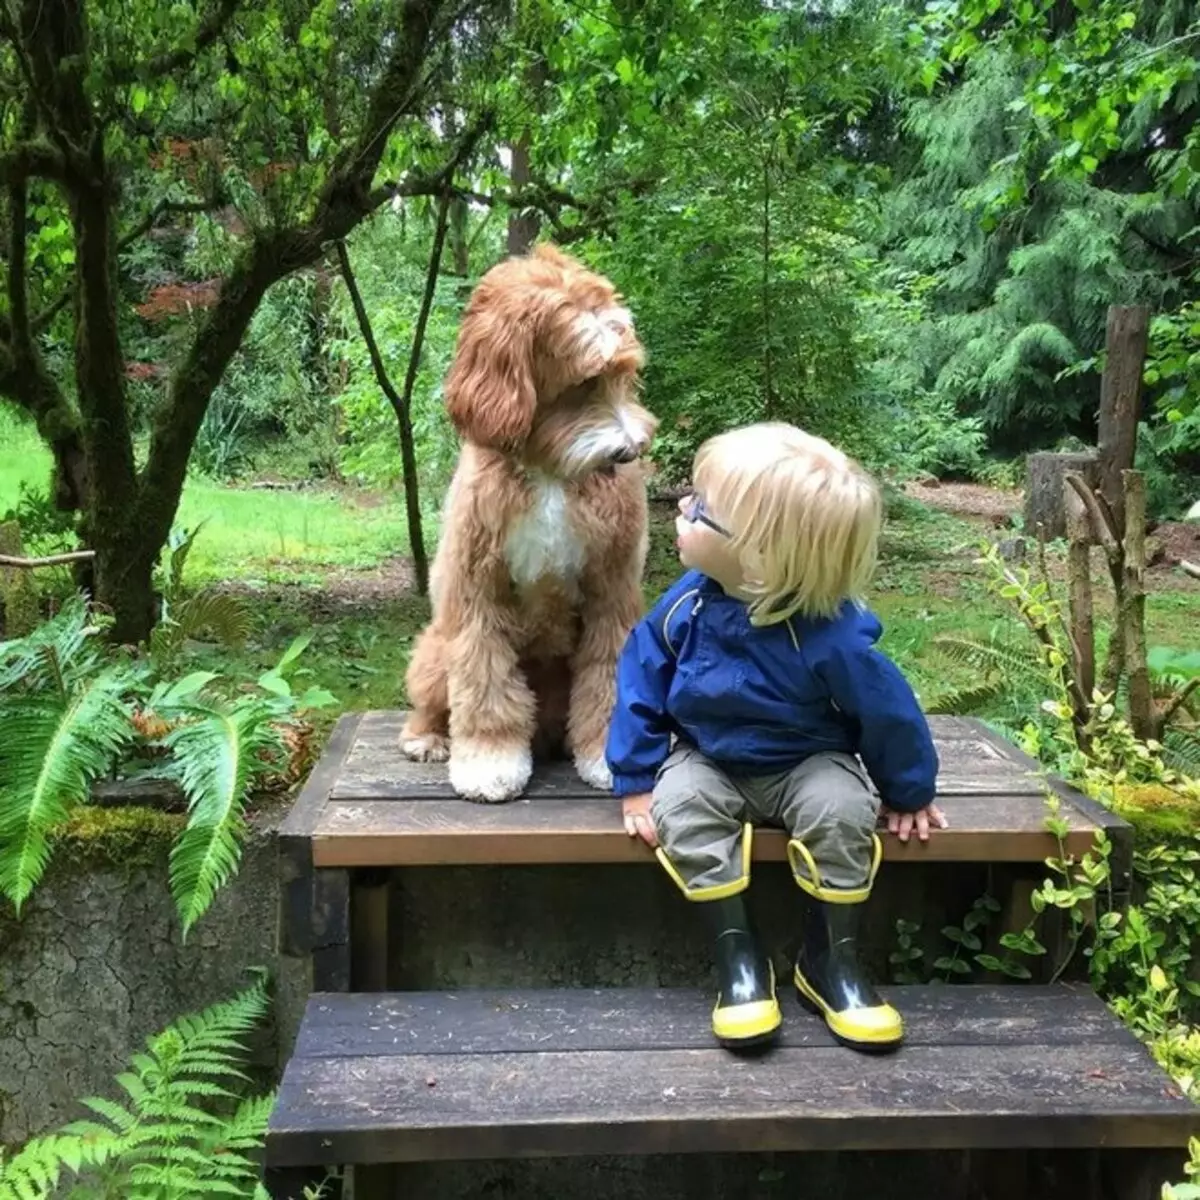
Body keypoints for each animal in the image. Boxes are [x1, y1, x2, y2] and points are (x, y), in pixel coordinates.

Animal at [398, 241, 657, 806]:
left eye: (624, 374)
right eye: (585, 381)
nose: (629, 451)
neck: (550, 471)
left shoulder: (612, 590)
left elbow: (608, 675)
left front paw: (608, 756)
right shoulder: (478, 590)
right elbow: (485, 682)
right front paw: (490, 763)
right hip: (436, 649)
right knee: (430, 701)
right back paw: (426, 738)